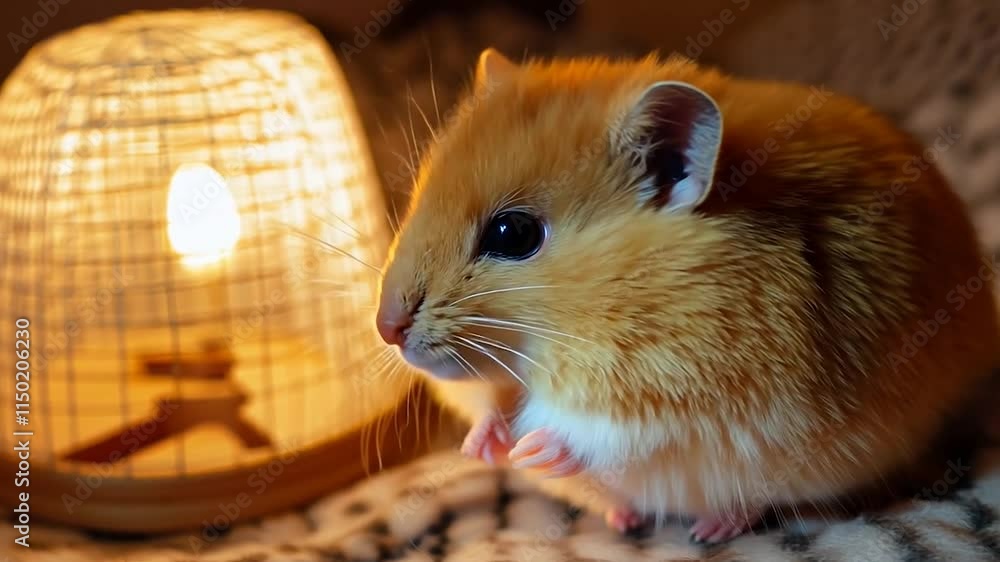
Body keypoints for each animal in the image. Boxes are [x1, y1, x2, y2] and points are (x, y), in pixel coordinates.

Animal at [375, 48, 1000, 543]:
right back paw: (624, 518)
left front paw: (530, 448)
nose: (386, 328)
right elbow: (484, 404)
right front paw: (484, 446)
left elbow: (601, 433)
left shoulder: (687, 398)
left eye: (514, 234)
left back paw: (710, 527)